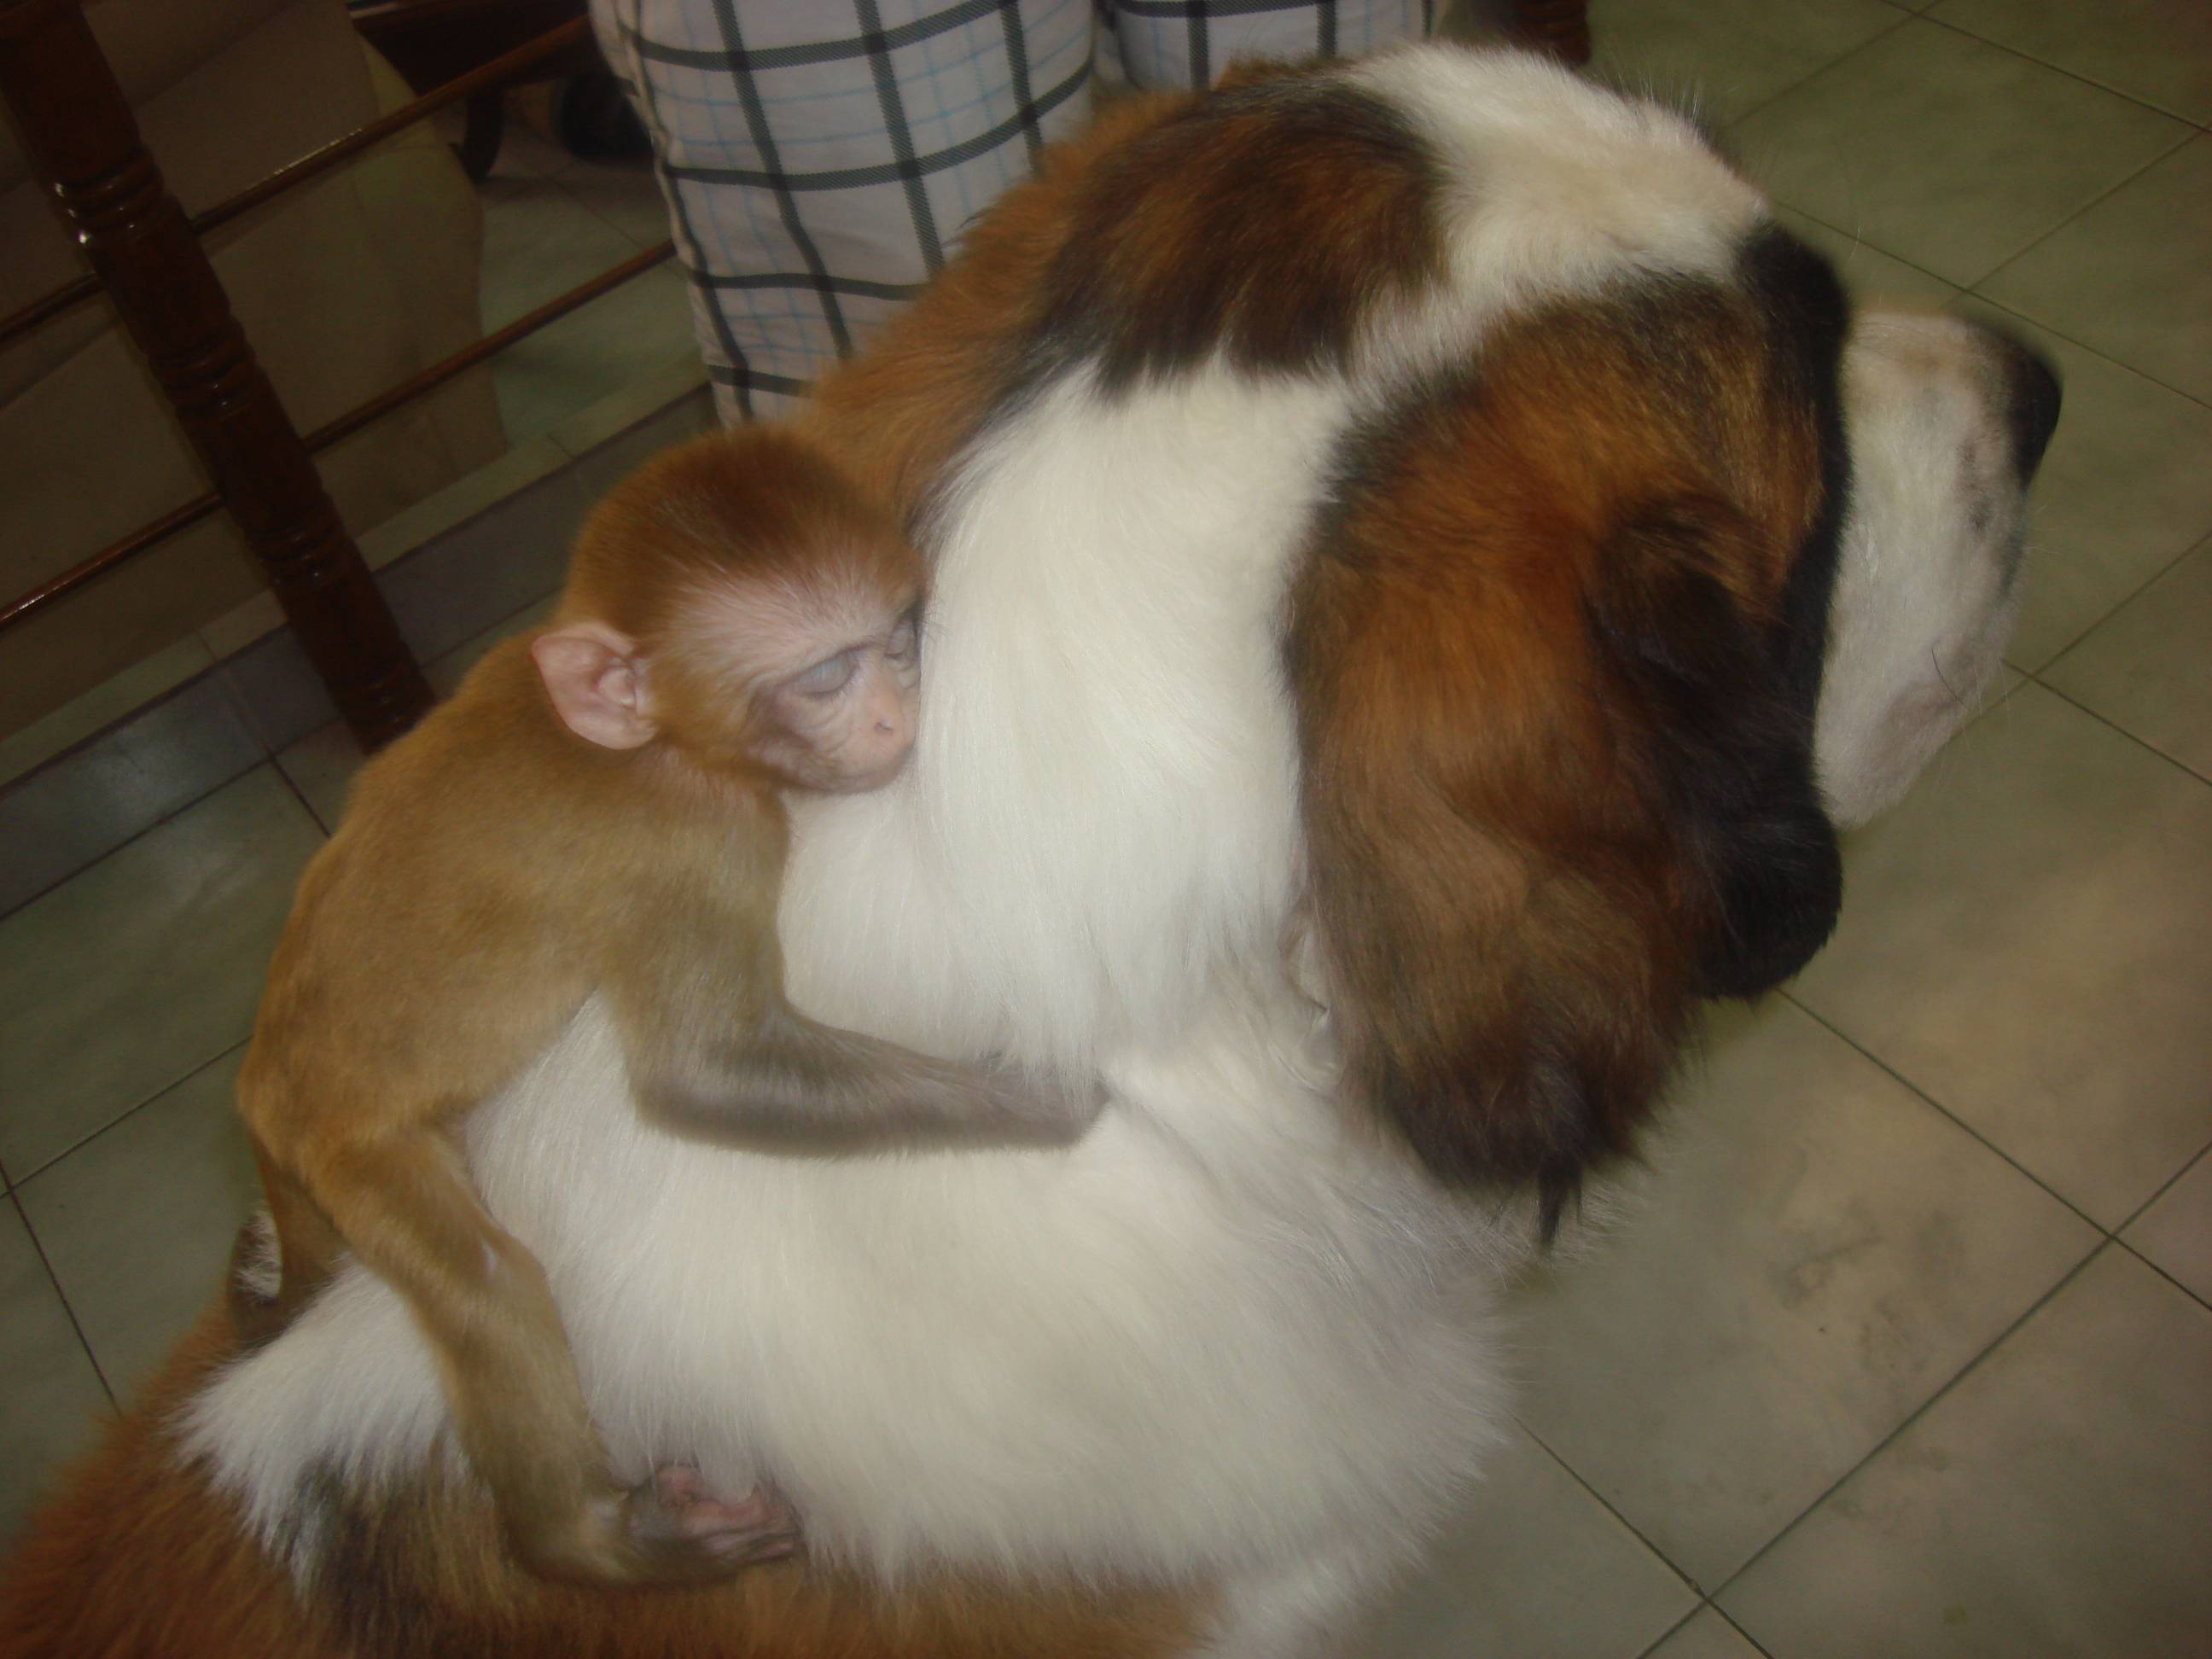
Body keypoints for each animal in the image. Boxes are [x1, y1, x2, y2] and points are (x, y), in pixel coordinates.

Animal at [237, 426, 1099, 1588]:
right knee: (490, 1286)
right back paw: (595, 1544)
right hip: (355, 1149)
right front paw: (1042, 1099)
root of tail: (263, 1083)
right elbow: (702, 1073)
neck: (649, 736)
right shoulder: (702, 837)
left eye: (898, 644)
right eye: (827, 674)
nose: (894, 714)